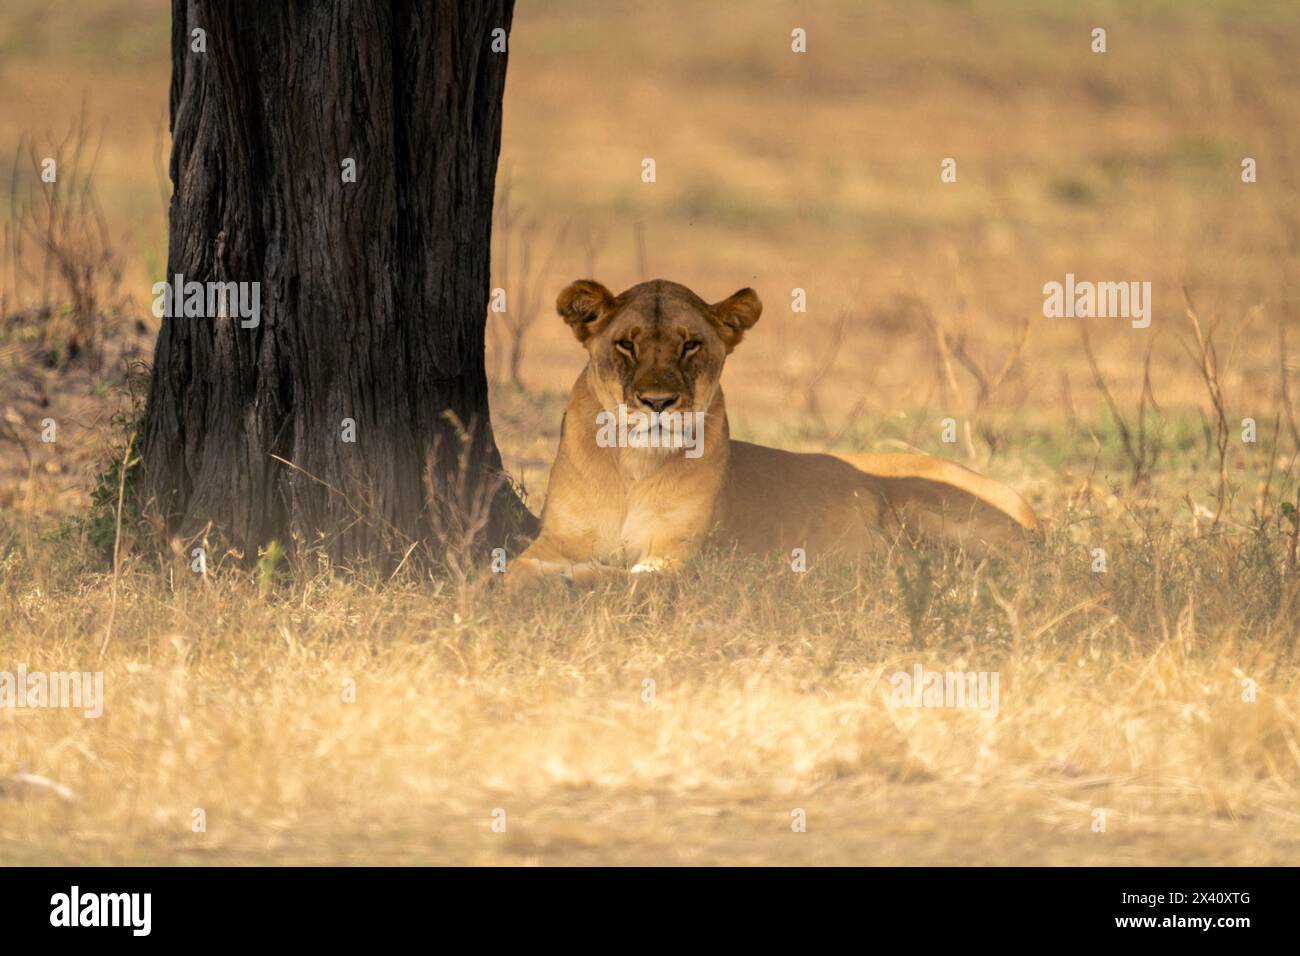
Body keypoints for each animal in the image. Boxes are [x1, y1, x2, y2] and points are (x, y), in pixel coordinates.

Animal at [508, 278, 1040, 586]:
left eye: (690, 346)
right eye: (625, 345)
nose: (658, 403)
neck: (633, 464)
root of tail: (1024, 503)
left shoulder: (678, 558)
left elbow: (623, 579)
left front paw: (577, 578)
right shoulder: (555, 539)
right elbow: (516, 571)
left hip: (919, 506)